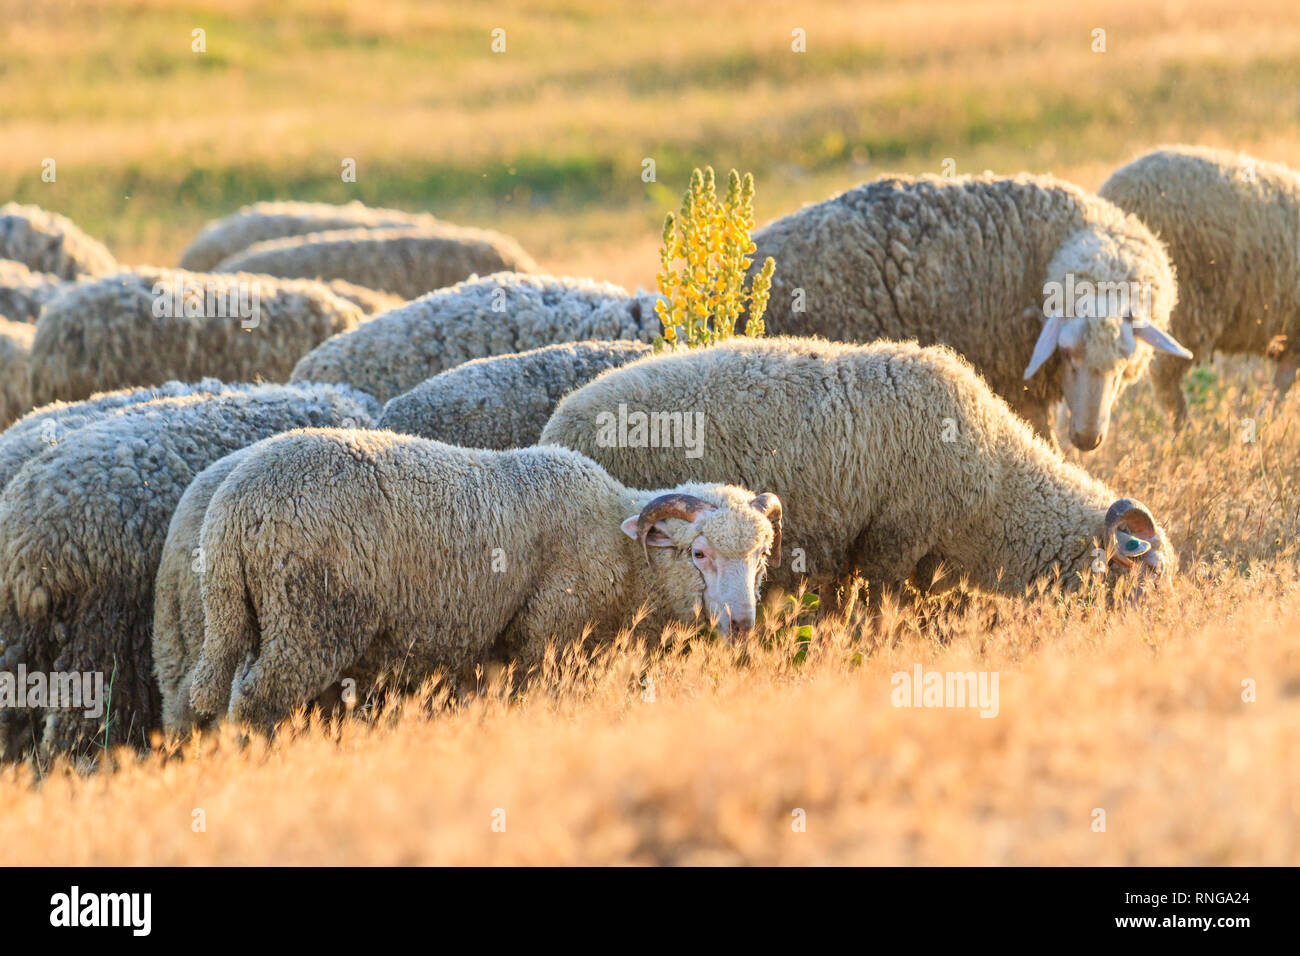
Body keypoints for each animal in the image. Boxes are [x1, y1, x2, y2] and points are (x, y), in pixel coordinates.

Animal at [184, 428, 781, 730]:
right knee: (257, 704)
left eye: (761, 555)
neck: (621, 550)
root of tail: (232, 507)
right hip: (311, 620)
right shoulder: (546, 640)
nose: (743, 625)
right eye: (699, 553)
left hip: (252, 617)